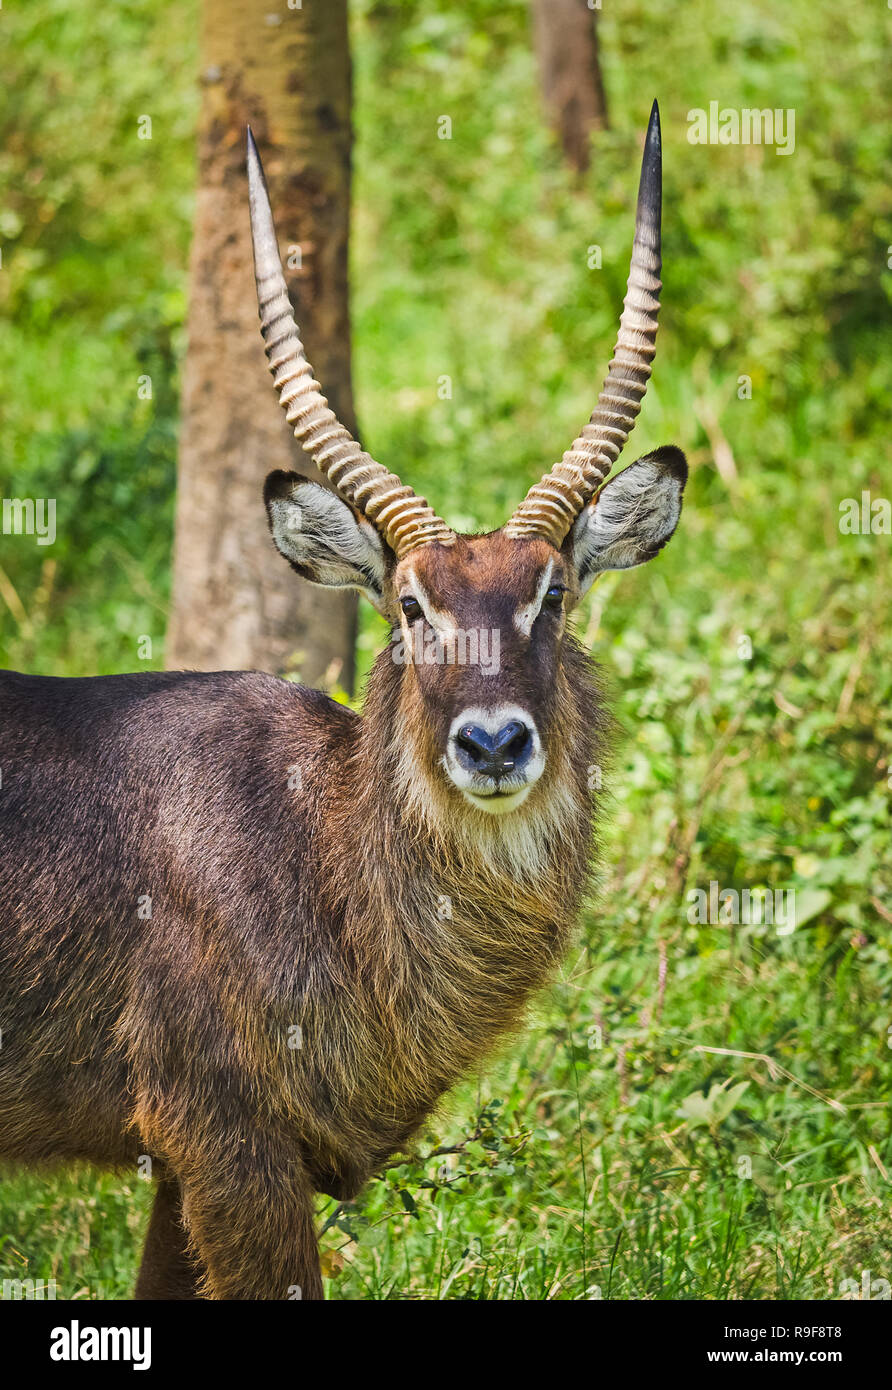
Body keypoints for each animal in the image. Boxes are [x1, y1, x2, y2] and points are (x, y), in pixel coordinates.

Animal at [0, 102, 686, 1300]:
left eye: (552, 592)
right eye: (410, 604)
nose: (494, 746)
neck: (317, 843)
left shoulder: (187, 1168)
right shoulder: (226, 1142)